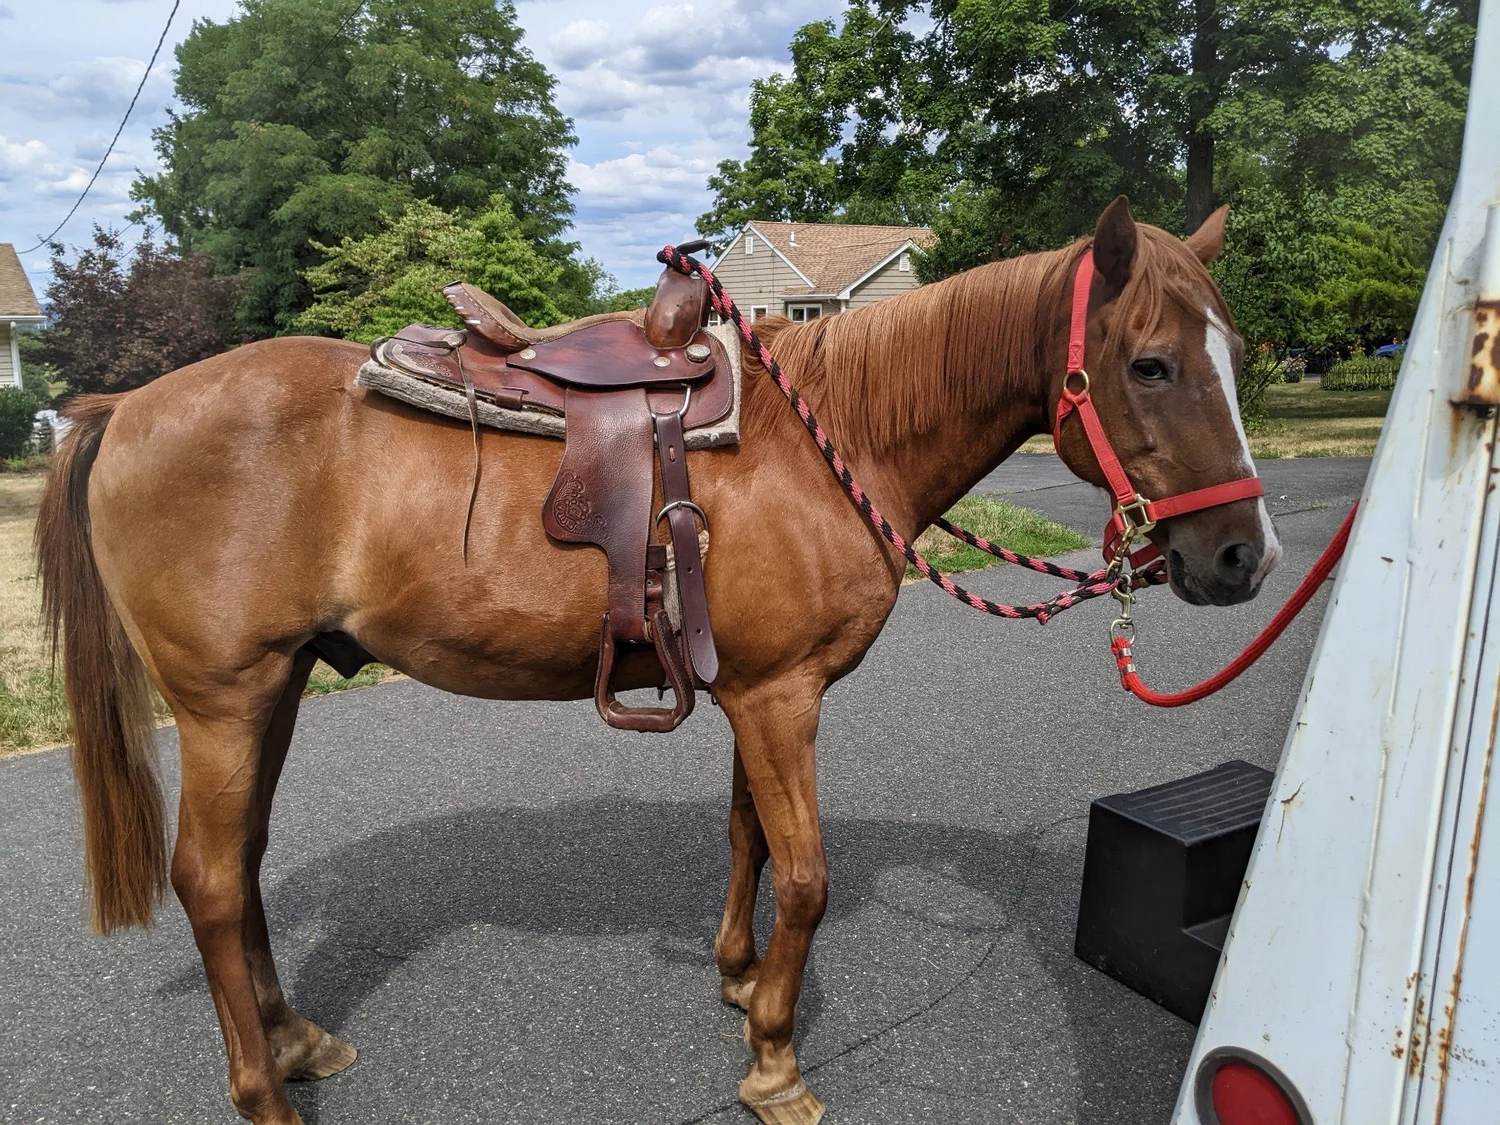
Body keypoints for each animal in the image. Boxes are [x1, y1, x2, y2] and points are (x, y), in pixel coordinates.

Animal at [36, 196, 1279, 1124]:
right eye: (1153, 364)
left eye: (1237, 352)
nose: (1243, 557)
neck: (828, 439)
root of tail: (125, 406)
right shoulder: (781, 698)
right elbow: (808, 874)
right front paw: (776, 1065)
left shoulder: (759, 692)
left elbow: (750, 841)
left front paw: (739, 981)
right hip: (225, 699)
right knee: (207, 880)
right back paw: (264, 1093)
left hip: (276, 686)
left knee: (240, 871)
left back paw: (295, 1041)